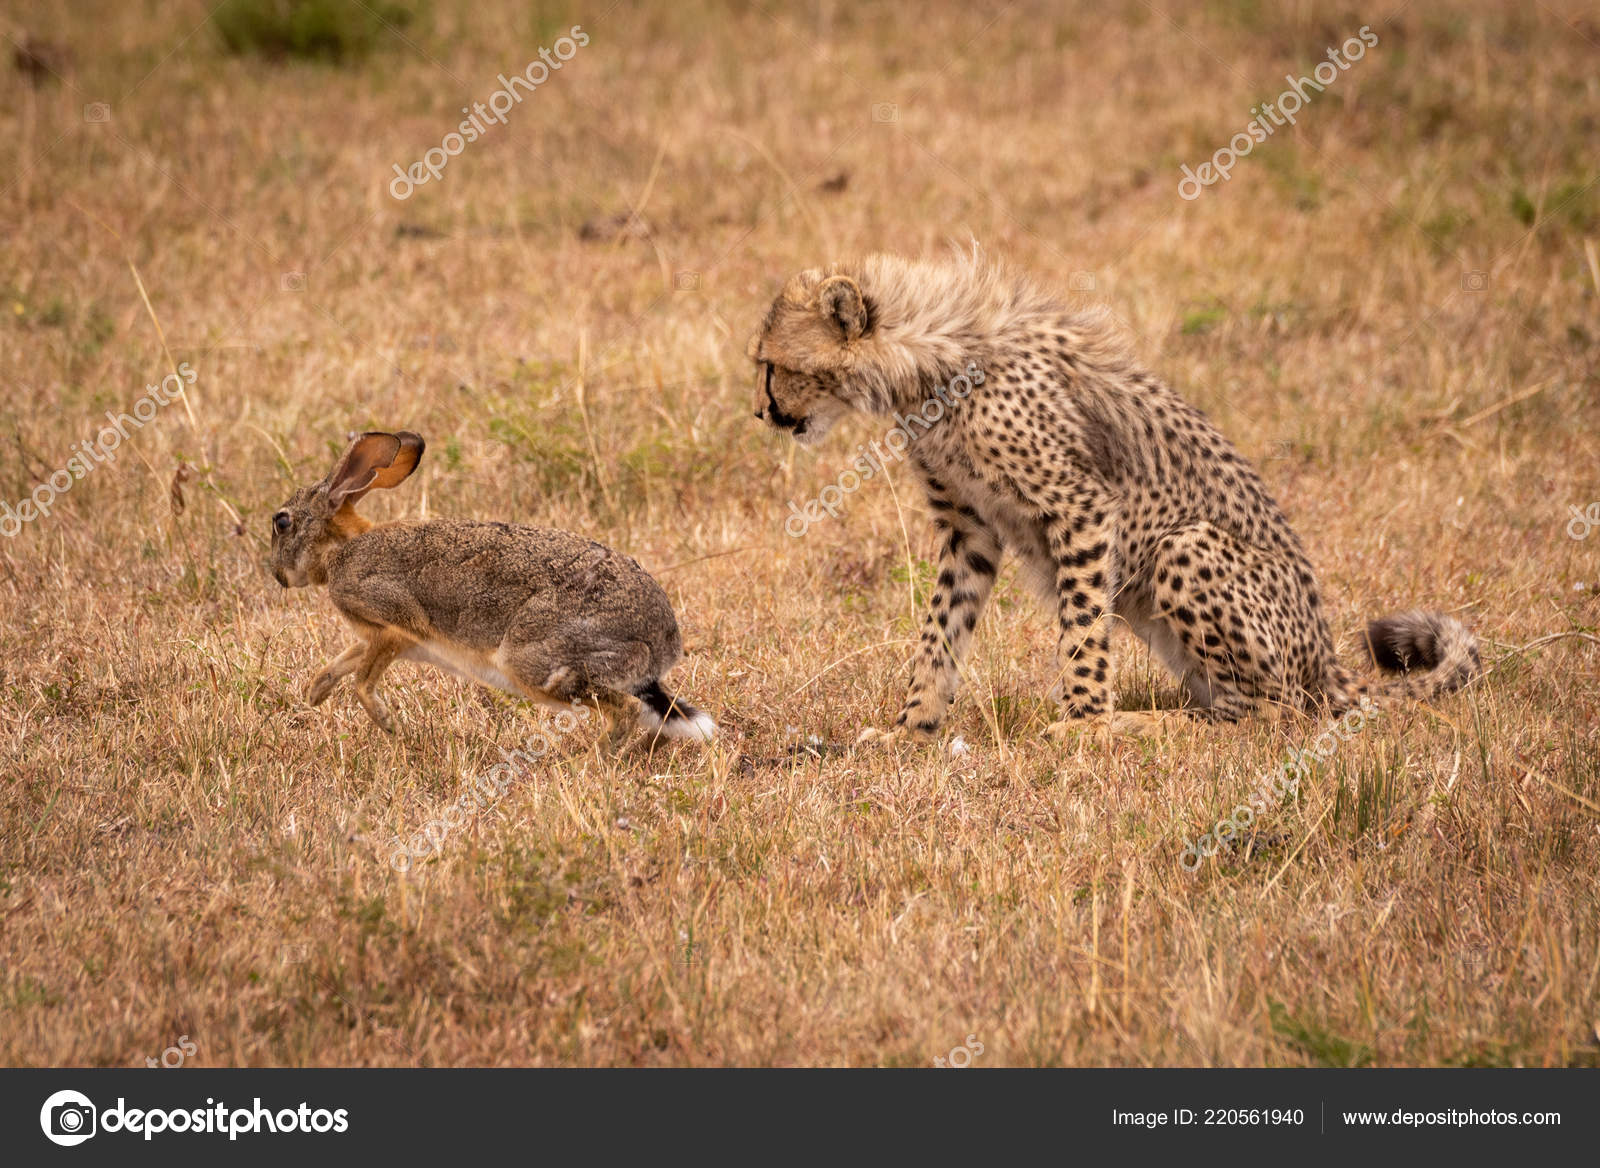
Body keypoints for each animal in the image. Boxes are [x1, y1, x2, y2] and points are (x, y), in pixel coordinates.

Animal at [268, 430, 716, 747]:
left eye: (282, 522)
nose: (277, 575)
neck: (339, 551)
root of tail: (662, 644)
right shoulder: (377, 638)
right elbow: (341, 662)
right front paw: (315, 694)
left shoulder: (391, 625)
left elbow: (363, 682)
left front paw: (390, 726)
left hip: (535, 662)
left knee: (624, 710)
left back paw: (589, 760)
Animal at [748, 251, 1481, 743]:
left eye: (770, 364)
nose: (760, 413)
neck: (923, 356)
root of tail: (1327, 658)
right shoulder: (969, 529)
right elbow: (940, 631)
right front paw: (912, 729)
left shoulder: (1079, 506)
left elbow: (1081, 627)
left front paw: (1086, 727)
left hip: (1189, 546)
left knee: (1266, 714)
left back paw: (1142, 726)